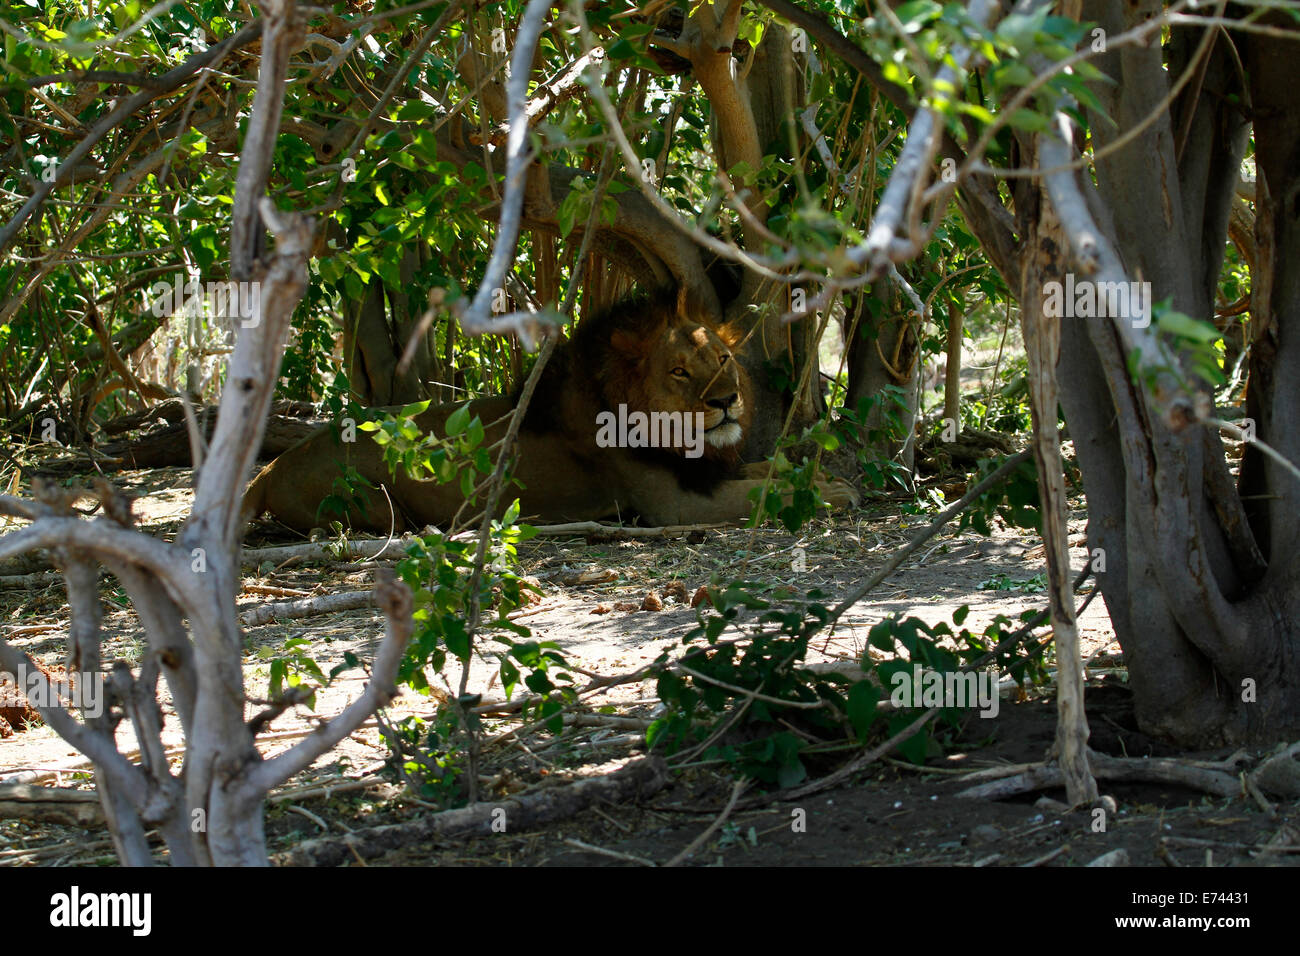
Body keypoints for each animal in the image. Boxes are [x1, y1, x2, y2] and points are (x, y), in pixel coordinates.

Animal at [242, 287, 858, 533]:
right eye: (680, 371)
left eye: (723, 358)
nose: (727, 400)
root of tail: (268, 469)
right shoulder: (673, 506)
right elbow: (763, 494)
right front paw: (833, 491)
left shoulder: (708, 471)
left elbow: (765, 470)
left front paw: (816, 473)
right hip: (372, 503)